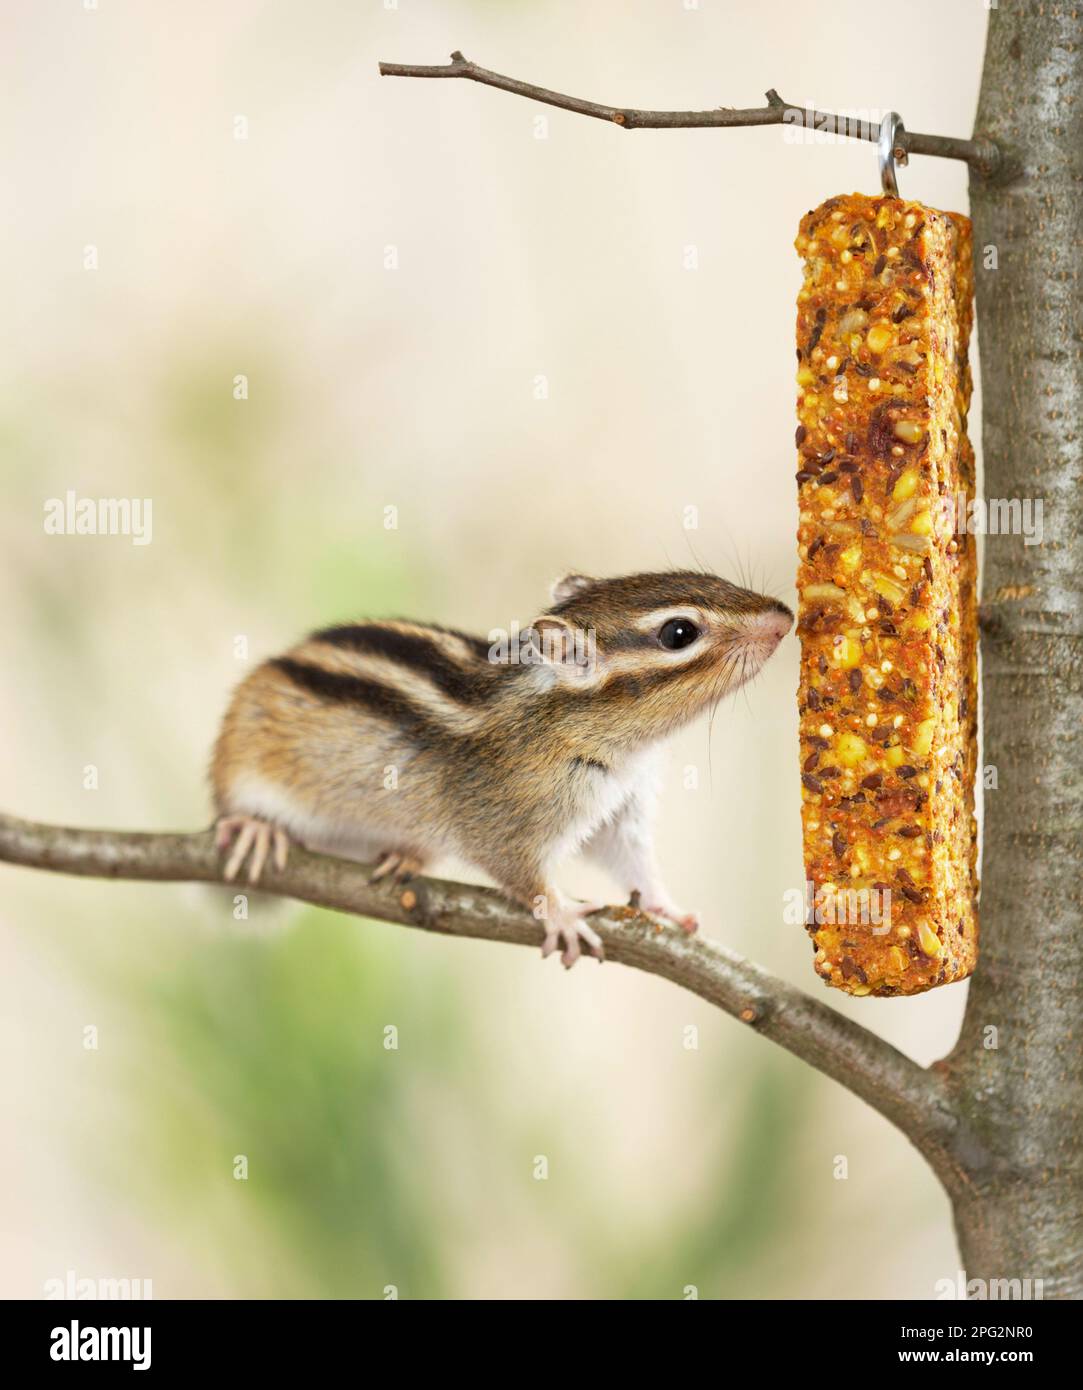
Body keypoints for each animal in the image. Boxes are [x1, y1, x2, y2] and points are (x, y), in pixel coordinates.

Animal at [211, 571, 792, 966]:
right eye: (679, 633)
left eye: (711, 577)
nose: (784, 617)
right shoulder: (505, 818)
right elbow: (518, 870)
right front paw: (560, 913)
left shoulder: (618, 809)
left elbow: (631, 862)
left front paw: (664, 907)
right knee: (230, 805)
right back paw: (256, 829)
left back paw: (405, 856)